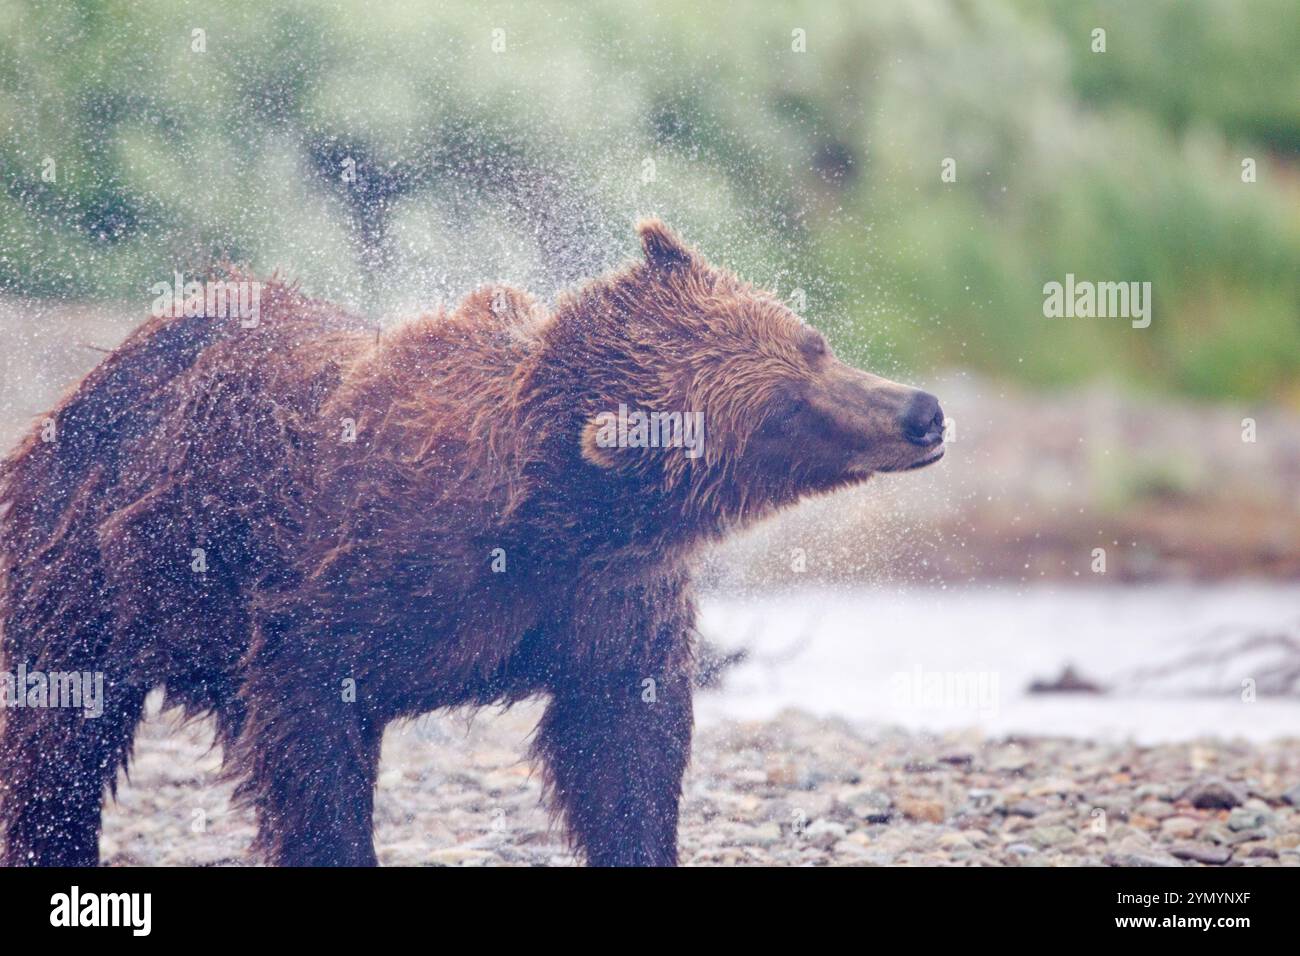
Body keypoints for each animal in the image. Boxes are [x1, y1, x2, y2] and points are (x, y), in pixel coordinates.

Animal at [0, 220, 944, 867]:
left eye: (814, 343)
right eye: (780, 411)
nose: (923, 411)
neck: (551, 527)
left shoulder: (609, 601)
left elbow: (624, 745)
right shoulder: (362, 577)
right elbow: (310, 728)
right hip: (89, 557)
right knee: (58, 731)